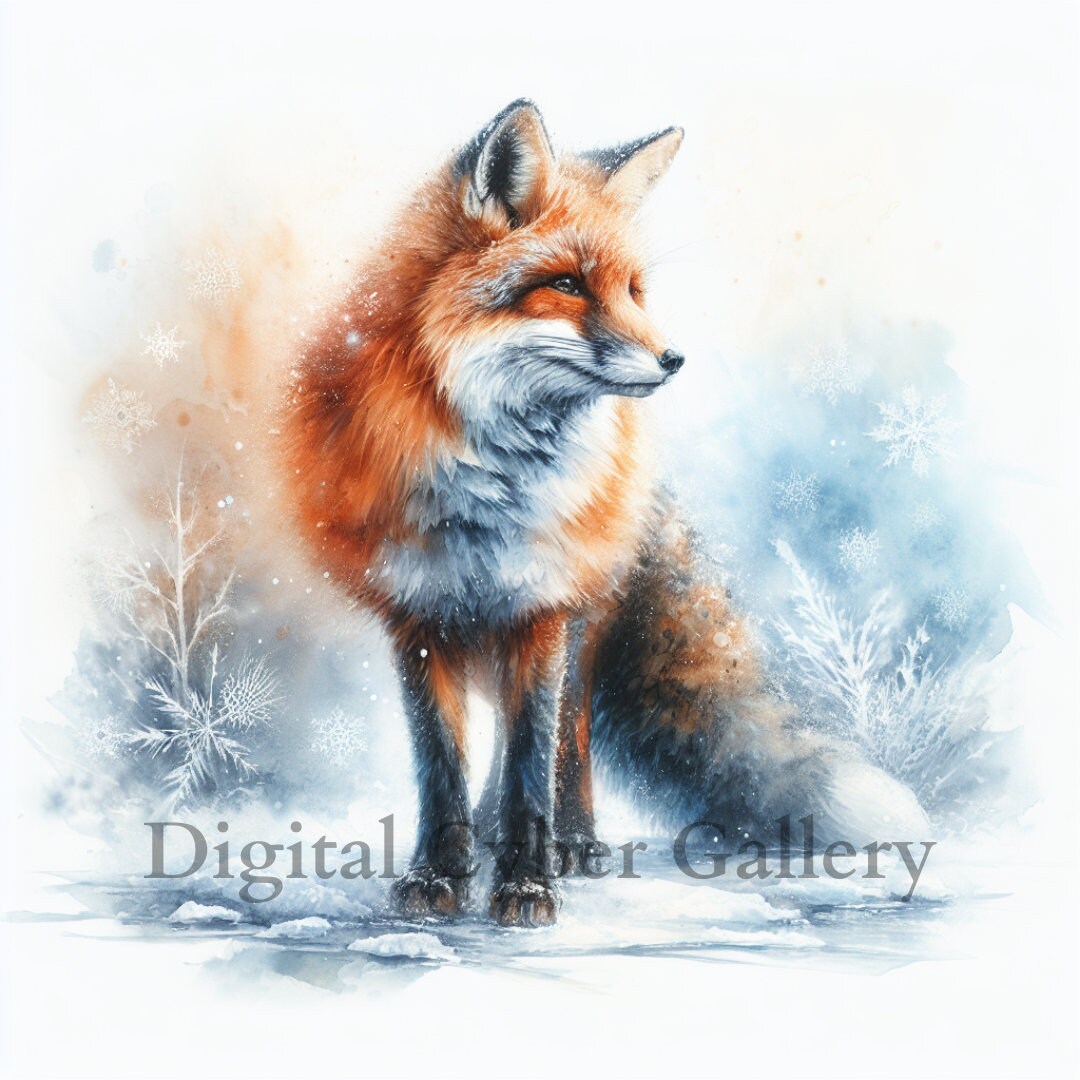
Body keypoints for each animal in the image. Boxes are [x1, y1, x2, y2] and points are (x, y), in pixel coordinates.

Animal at [282, 100, 927, 927]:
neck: (491, 493)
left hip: (581, 615)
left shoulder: (541, 607)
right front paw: (439, 877)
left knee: (570, 731)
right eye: (564, 284)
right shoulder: (419, 614)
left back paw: (576, 841)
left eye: (632, 290)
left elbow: (535, 759)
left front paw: (527, 884)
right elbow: (442, 767)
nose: (674, 359)